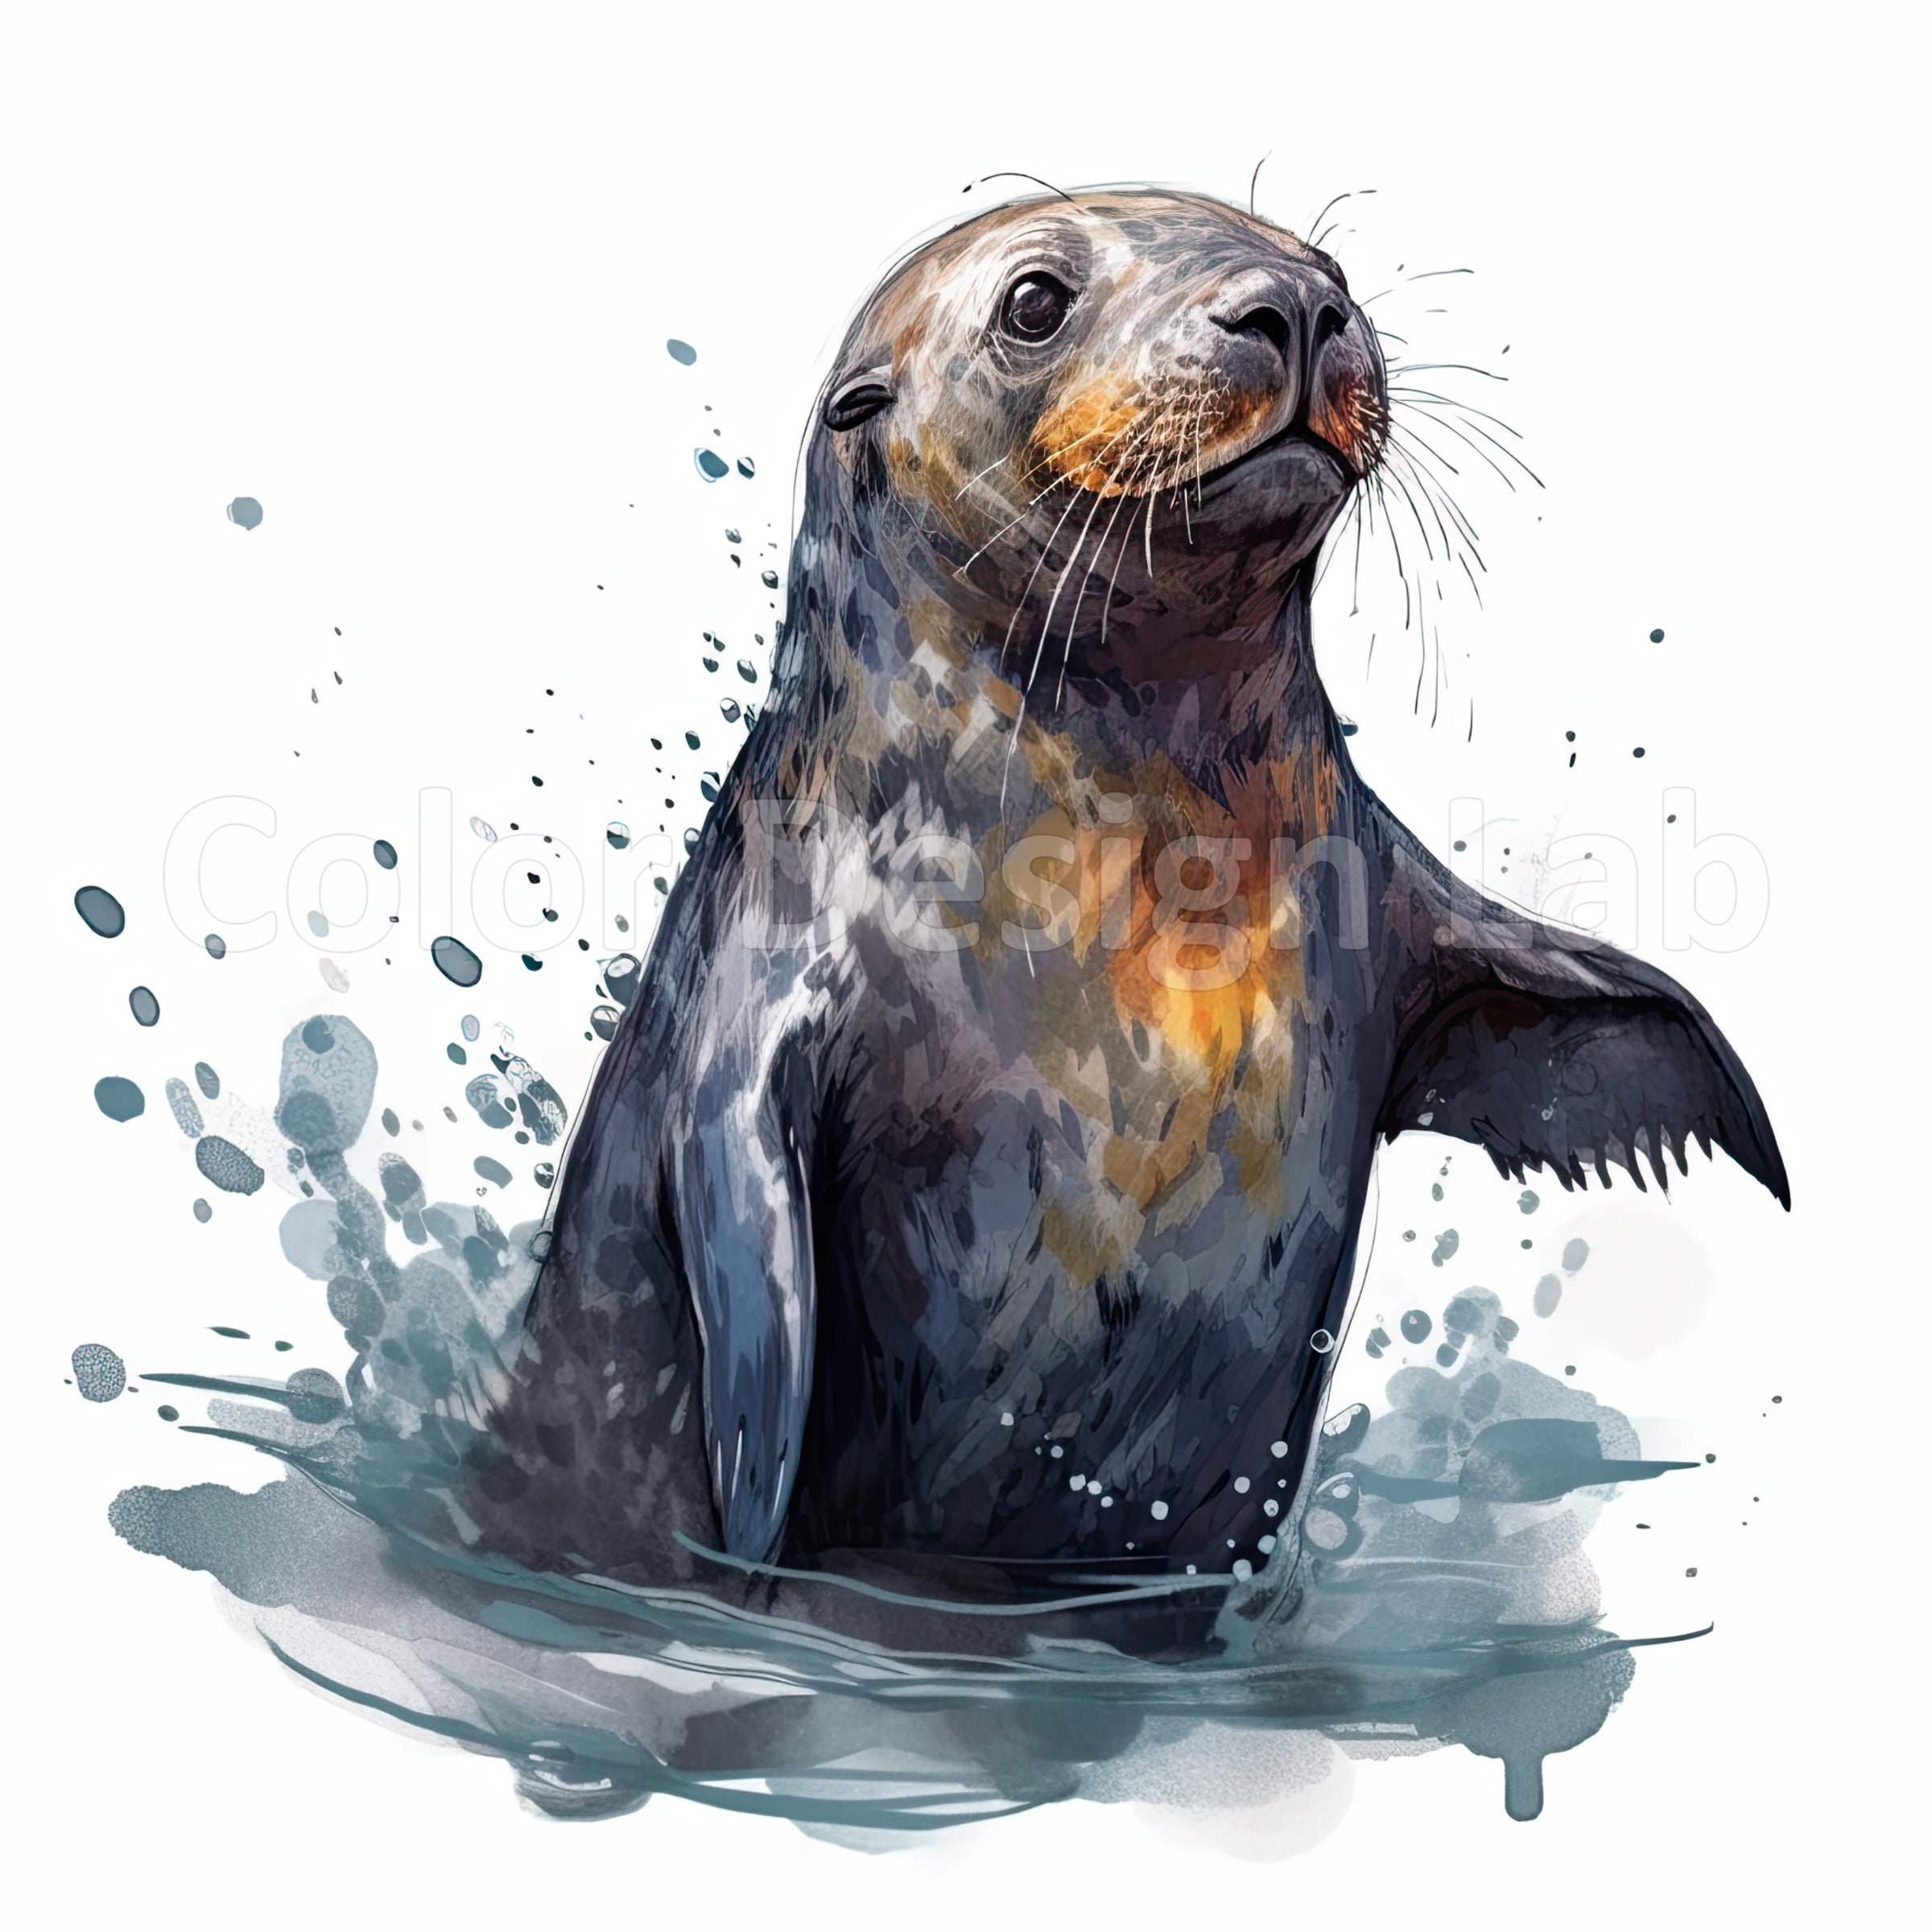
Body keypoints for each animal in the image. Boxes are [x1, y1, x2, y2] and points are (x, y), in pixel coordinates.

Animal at [472, 189, 1786, 1651]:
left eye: (1331, 268)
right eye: (1036, 301)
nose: (1297, 307)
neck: (1155, 912)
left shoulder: (1392, 903)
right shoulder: (760, 998)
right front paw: (742, 1552)